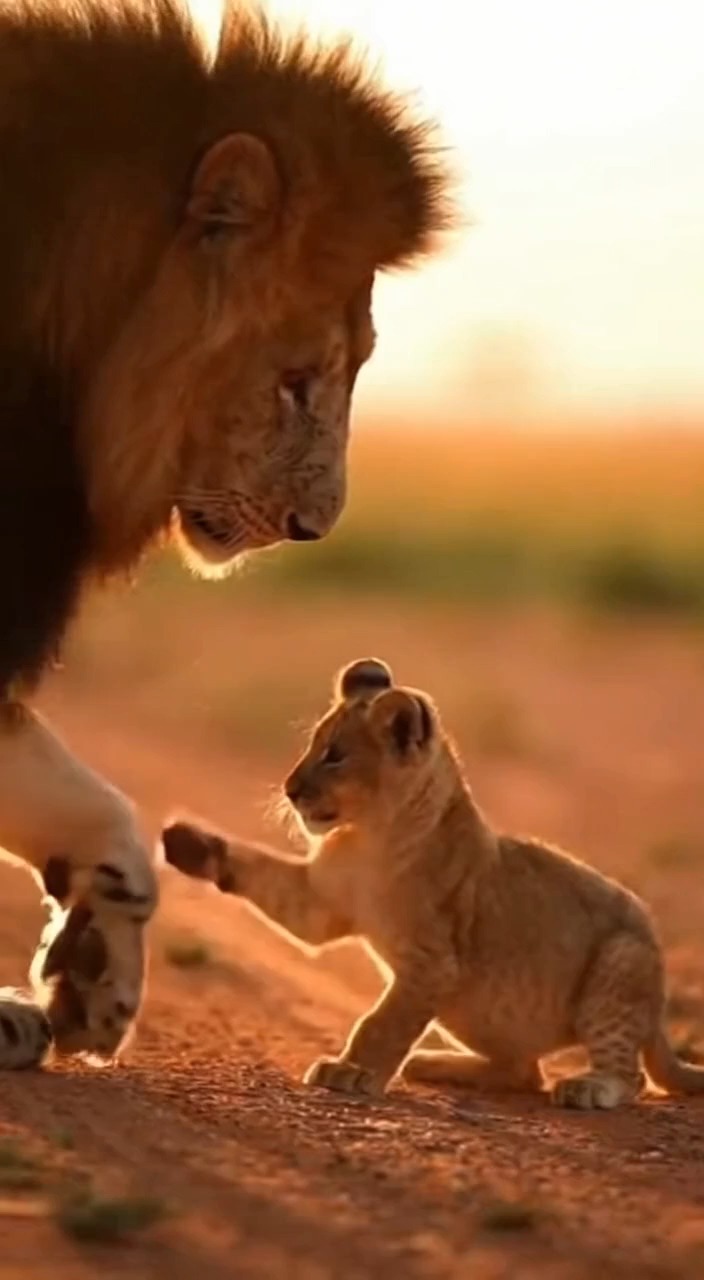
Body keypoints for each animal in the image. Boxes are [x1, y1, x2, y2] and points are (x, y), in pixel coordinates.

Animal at [162, 657, 704, 1109]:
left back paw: (589, 1088)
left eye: (335, 755)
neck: (367, 837)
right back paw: (435, 1064)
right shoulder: (320, 902)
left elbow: (383, 1022)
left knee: (628, 1075)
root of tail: (659, 1003)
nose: (291, 790)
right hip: (478, 1013)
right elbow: (267, 879)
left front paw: (351, 1072)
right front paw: (186, 843)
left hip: (619, 964)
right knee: (523, 1071)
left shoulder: (432, 964)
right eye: (313, 745)